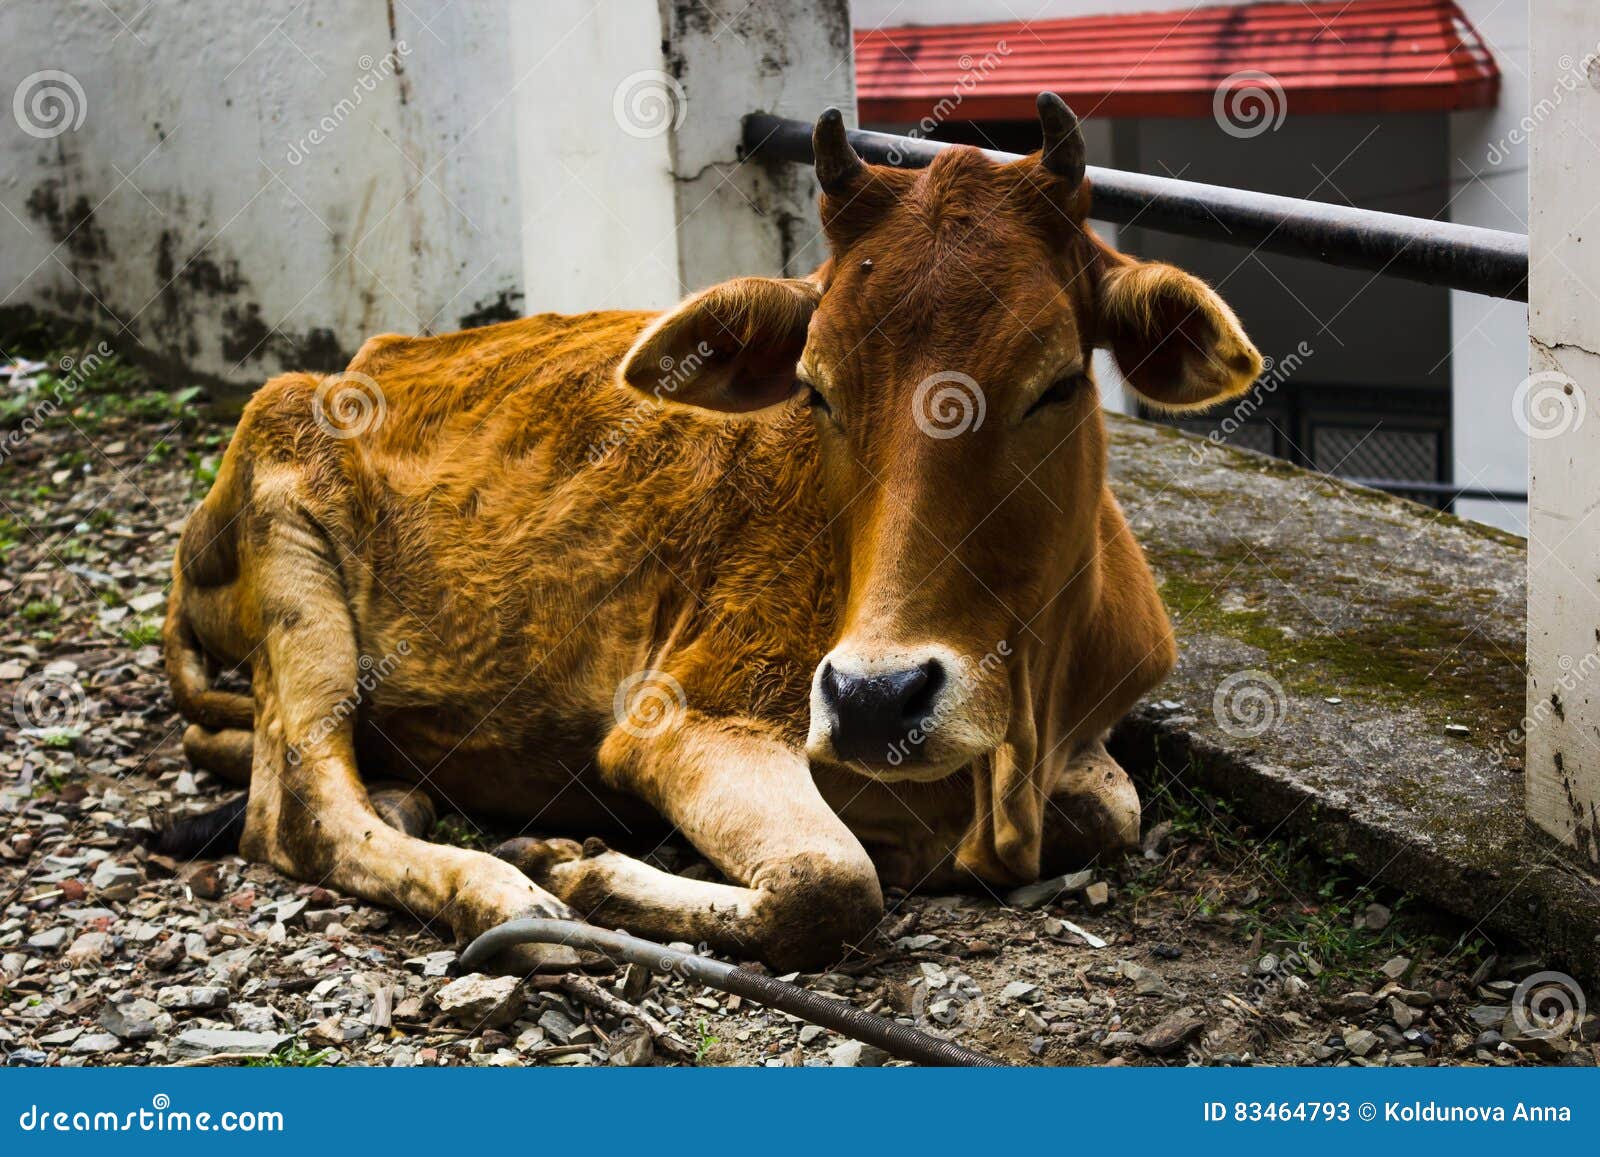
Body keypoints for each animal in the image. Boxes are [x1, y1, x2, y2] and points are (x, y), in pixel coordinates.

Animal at [159, 95, 1261, 971]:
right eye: (816, 389)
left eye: (1059, 382)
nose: (875, 701)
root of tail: (348, 365)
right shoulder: (685, 714)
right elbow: (831, 882)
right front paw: (572, 866)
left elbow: (1113, 810)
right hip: (294, 557)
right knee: (300, 808)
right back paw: (504, 892)